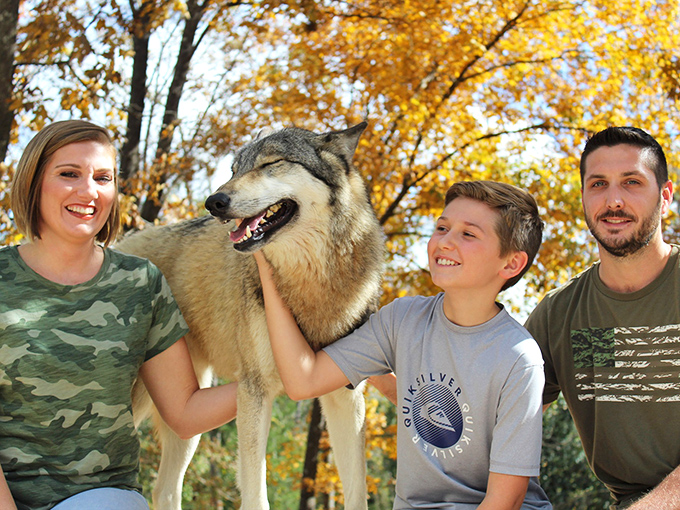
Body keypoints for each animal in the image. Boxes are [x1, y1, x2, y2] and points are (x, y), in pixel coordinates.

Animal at [118, 122, 385, 509]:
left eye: (270, 163)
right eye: (234, 170)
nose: (214, 202)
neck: (312, 284)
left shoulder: (344, 395)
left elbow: (356, 493)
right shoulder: (254, 390)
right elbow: (256, 496)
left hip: (189, 414)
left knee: (164, 489)